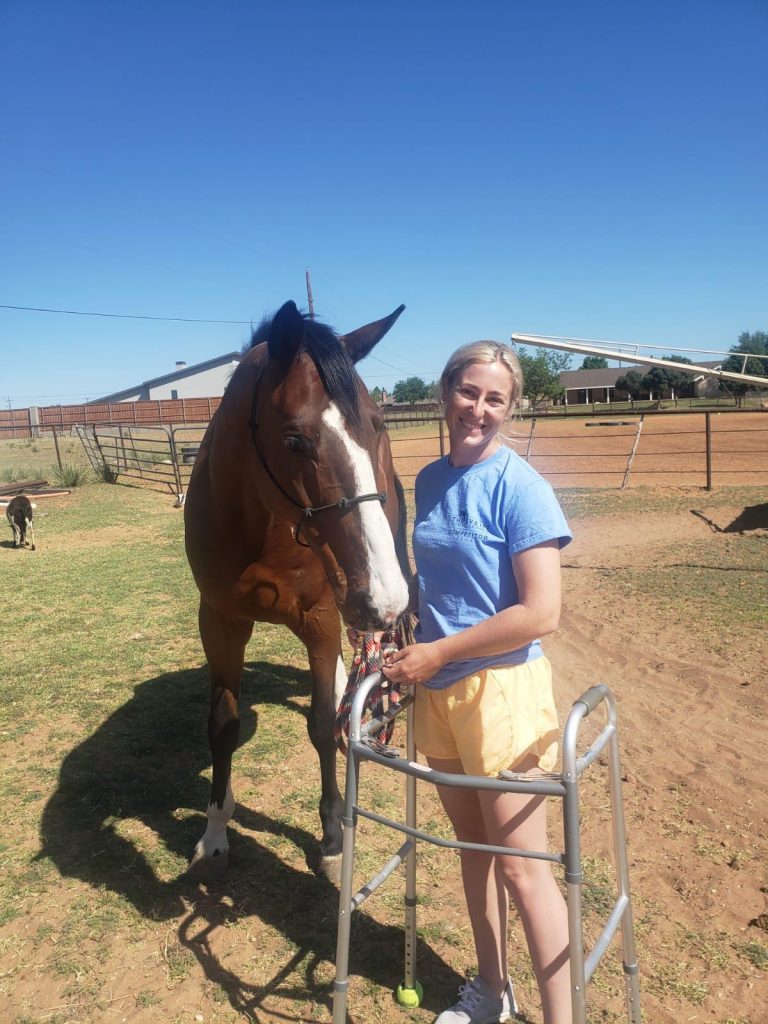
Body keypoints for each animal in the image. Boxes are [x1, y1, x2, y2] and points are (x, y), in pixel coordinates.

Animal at [184, 300, 411, 881]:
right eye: (294, 440)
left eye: (377, 425)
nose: (385, 596)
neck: (261, 532)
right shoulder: (220, 621)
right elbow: (222, 724)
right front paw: (214, 833)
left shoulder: (321, 621)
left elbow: (321, 724)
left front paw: (331, 836)